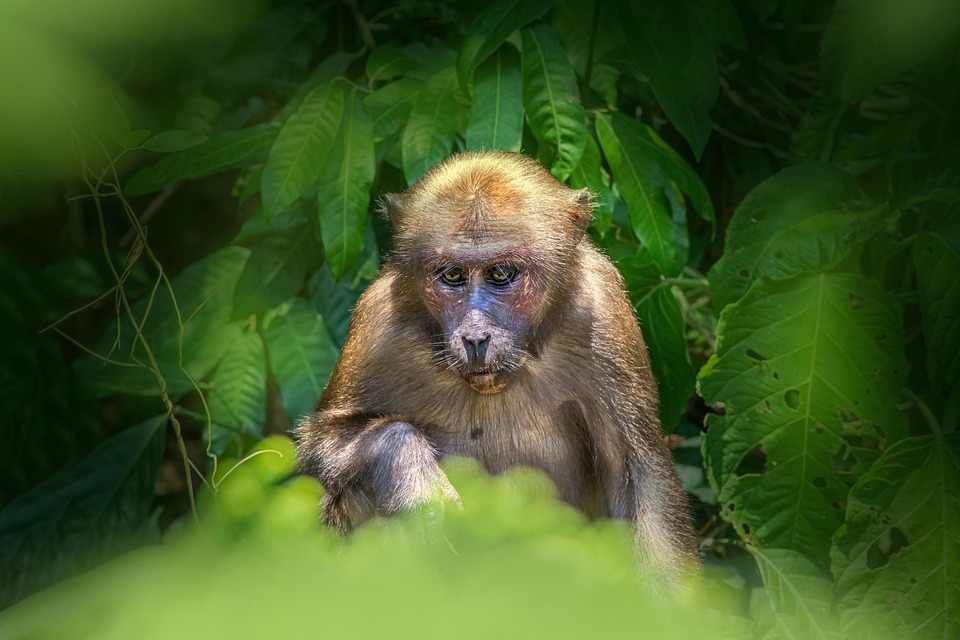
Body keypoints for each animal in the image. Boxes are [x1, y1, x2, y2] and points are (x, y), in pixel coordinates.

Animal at [296, 150, 698, 589]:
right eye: (452, 275)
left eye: (501, 275)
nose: (475, 337)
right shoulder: (377, 319)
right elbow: (323, 442)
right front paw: (406, 466)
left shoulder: (602, 308)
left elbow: (640, 481)